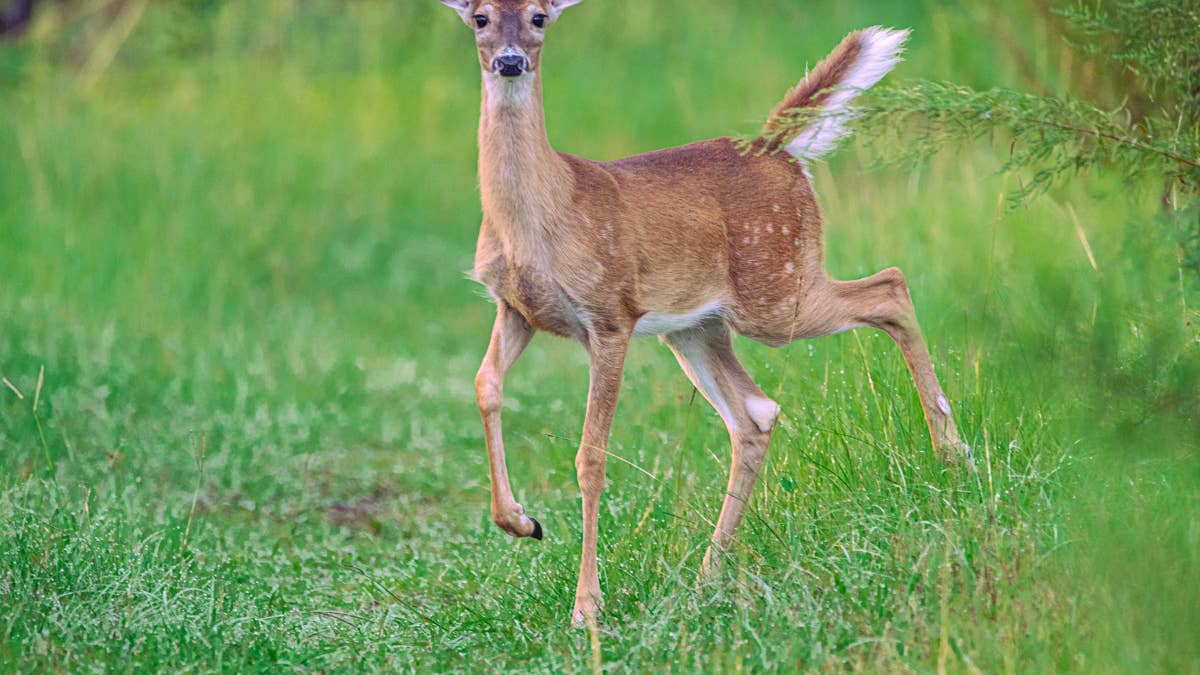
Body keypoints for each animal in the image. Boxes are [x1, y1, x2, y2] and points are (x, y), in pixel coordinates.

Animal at [437, 0, 969, 627]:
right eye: (480, 18)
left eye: (540, 16)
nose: (510, 61)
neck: (539, 218)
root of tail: (778, 149)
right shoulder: (516, 309)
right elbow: (485, 386)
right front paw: (521, 521)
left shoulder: (611, 314)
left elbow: (591, 457)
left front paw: (586, 606)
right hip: (697, 326)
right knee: (756, 412)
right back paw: (707, 575)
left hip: (775, 293)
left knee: (891, 287)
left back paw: (953, 454)